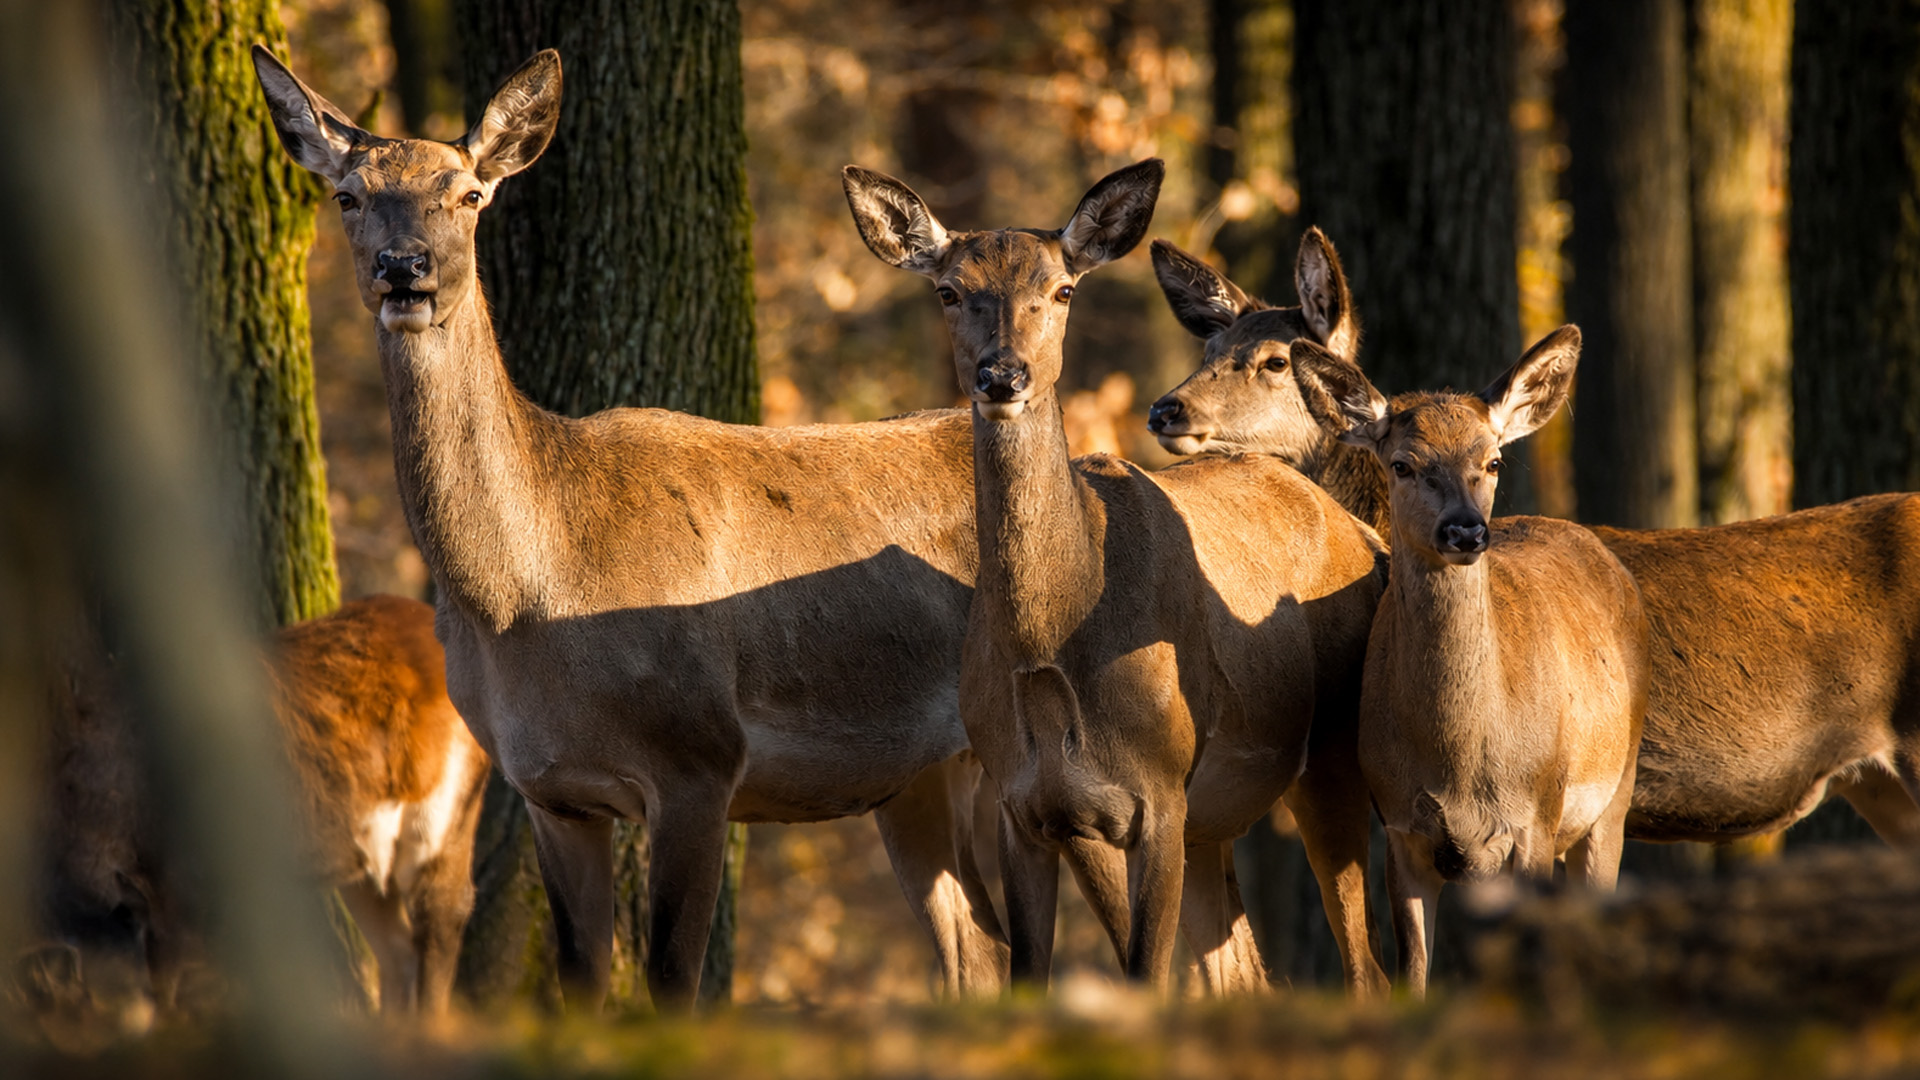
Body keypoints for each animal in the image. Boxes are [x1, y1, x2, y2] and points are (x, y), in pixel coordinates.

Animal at [251, 47, 1010, 1011]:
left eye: (468, 193)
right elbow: (579, 978)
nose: (404, 267)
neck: (533, 592)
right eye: (348, 195)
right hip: (919, 776)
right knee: (975, 949)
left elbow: (672, 981)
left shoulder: (700, 760)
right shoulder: (550, 791)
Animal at [844, 160, 1391, 994]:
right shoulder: (1024, 808)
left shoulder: (1159, 797)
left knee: (1367, 967)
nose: (1002, 374)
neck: (1052, 647)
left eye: (1064, 288)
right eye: (948, 290)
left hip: (1330, 760)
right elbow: (1030, 975)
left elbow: (1146, 978)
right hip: (1216, 820)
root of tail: (1360, 531)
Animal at [1291, 328, 1650, 994]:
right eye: (1402, 464)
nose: (1465, 531)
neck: (1459, 761)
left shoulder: (1535, 815)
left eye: (1494, 461)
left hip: (1615, 790)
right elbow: (1414, 971)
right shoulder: (1400, 827)